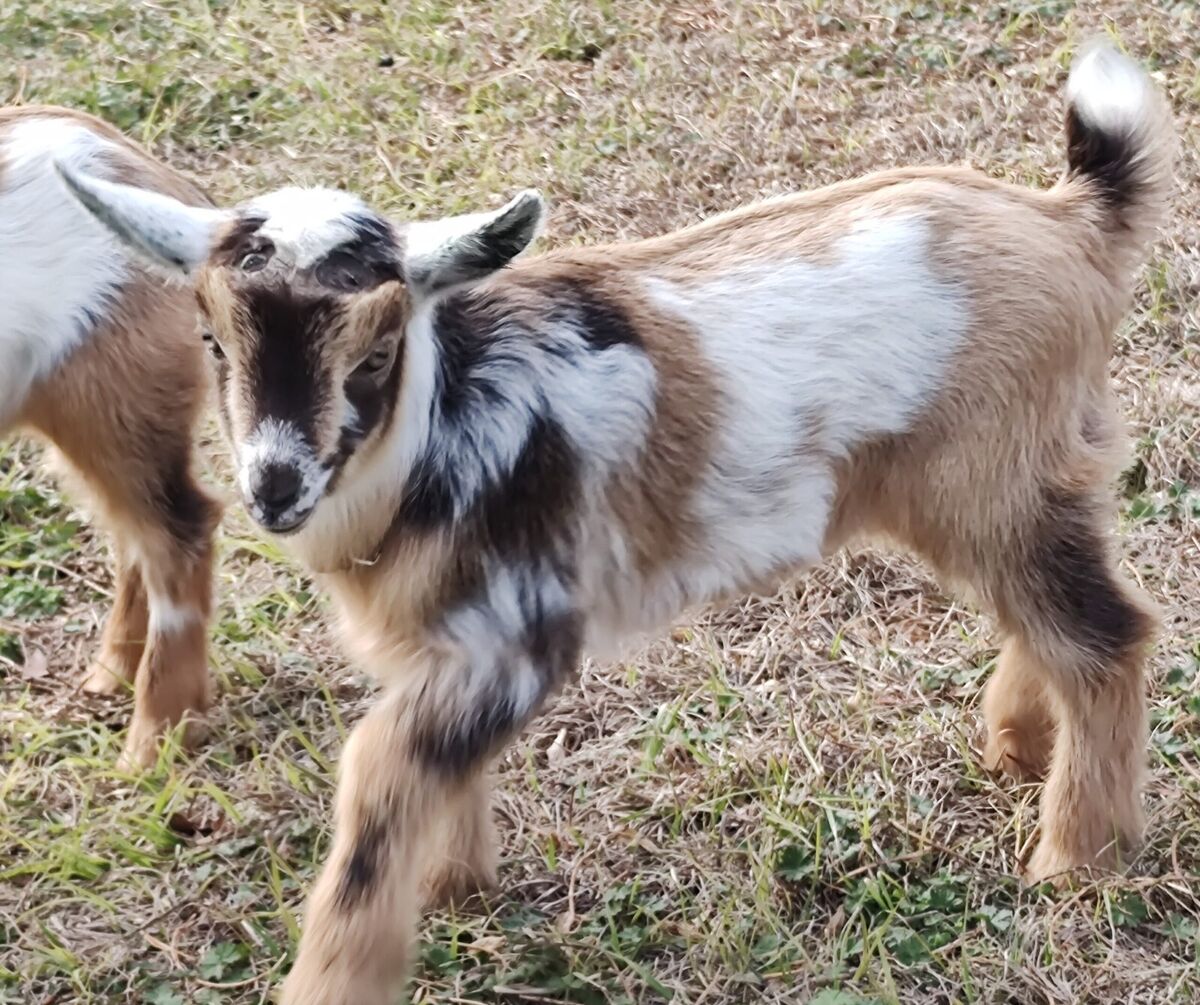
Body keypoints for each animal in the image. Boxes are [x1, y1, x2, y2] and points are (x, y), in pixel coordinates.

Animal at [59, 43, 1172, 1005]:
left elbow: (378, 780)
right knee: (1053, 619)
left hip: (997, 482)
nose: (276, 486)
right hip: (1024, 482)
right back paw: (1020, 747)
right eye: (213, 340)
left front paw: (342, 973)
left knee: (1105, 636)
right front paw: (453, 890)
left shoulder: (514, 637)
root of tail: (1072, 220)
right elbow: (429, 775)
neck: (442, 418)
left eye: (374, 354)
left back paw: (1075, 861)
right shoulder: (442, 643)